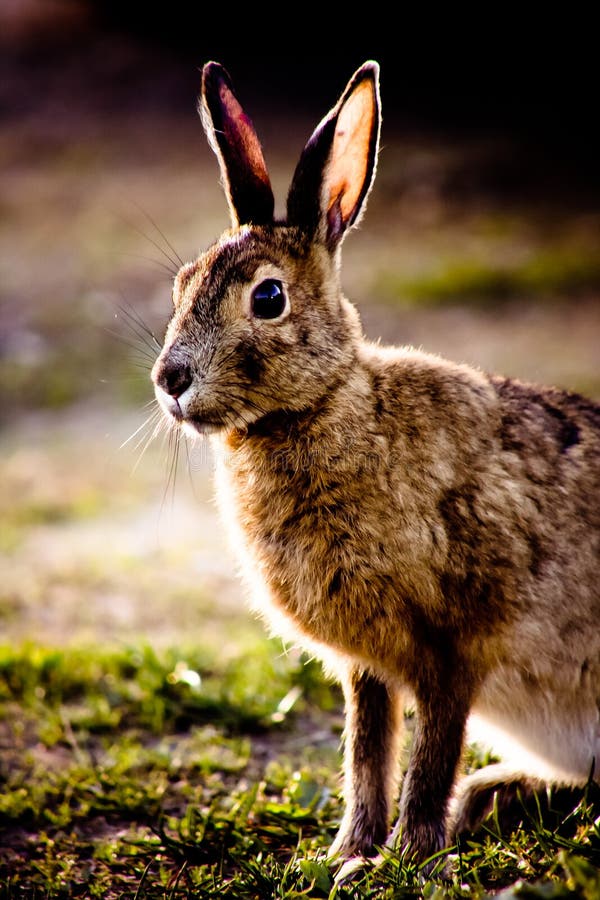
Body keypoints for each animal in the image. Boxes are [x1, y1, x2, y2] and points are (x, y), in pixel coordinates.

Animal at [151, 59, 600, 869]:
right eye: (181, 285)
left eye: (269, 297)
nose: (169, 380)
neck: (324, 409)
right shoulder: (367, 667)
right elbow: (367, 750)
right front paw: (348, 855)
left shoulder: (457, 640)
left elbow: (430, 750)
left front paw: (410, 853)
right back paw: (492, 794)